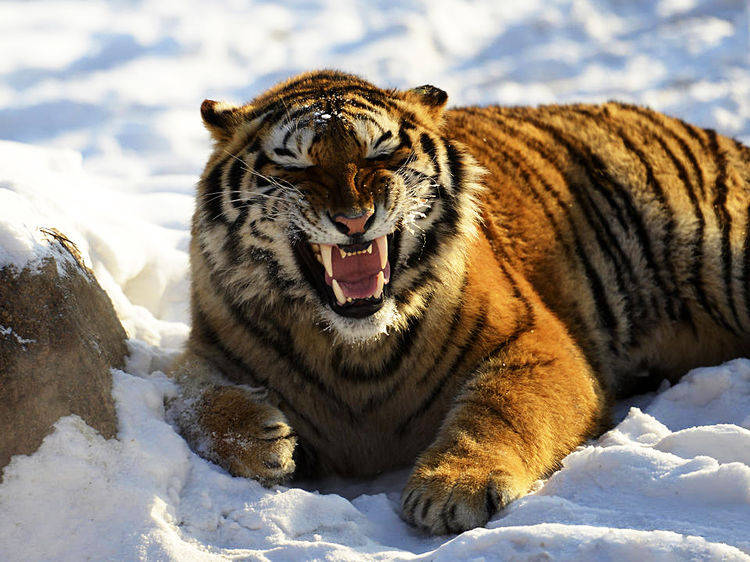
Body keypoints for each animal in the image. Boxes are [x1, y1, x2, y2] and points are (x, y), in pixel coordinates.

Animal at [167, 69, 750, 535]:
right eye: (295, 165)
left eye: (381, 153)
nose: (354, 218)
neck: (355, 354)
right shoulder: (207, 349)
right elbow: (192, 400)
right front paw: (264, 442)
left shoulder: (536, 342)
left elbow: (501, 408)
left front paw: (451, 489)